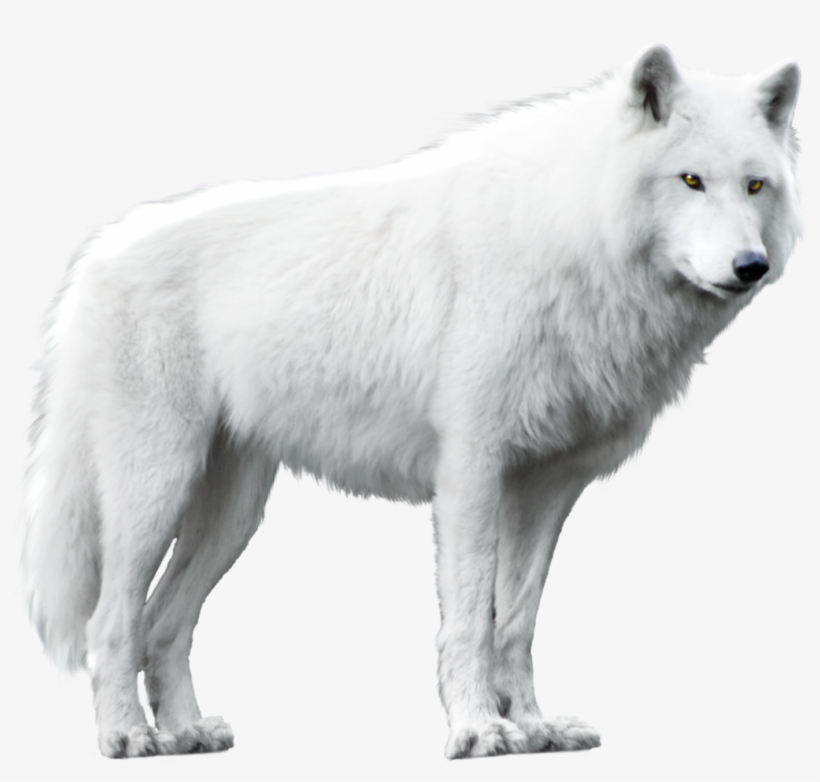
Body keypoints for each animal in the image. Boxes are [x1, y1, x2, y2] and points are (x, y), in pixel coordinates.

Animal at [22, 46, 801, 759]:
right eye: (691, 180)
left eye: (755, 186)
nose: (750, 267)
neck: (572, 235)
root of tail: (96, 257)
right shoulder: (471, 473)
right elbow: (471, 617)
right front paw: (478, 730)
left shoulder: (546, 486)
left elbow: (517, 621)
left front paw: (534, 728)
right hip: (156, 492)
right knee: (111, 622)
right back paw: (127, 737)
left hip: (234, 516)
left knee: (164, 623)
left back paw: (186, 733)